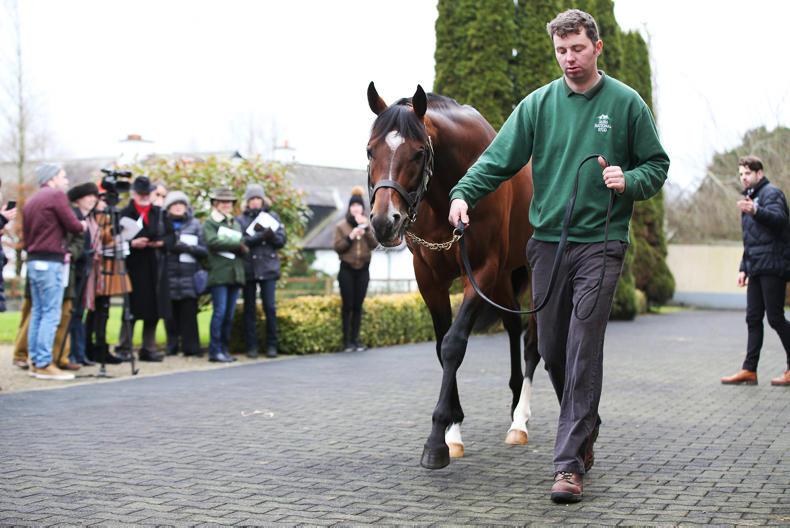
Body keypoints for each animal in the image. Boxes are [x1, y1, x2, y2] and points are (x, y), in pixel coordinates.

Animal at [366, 82, 542, 469]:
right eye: (370, 150)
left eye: (418, 153)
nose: (385, 222)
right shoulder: (429, 278)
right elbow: (439, 344)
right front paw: (453, 431)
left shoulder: (481, 270)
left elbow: (454, 345)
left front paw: (436, 440)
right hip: (504, 279)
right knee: (512, 325)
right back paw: (512, 404)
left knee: (532, 343)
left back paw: (520, 421)